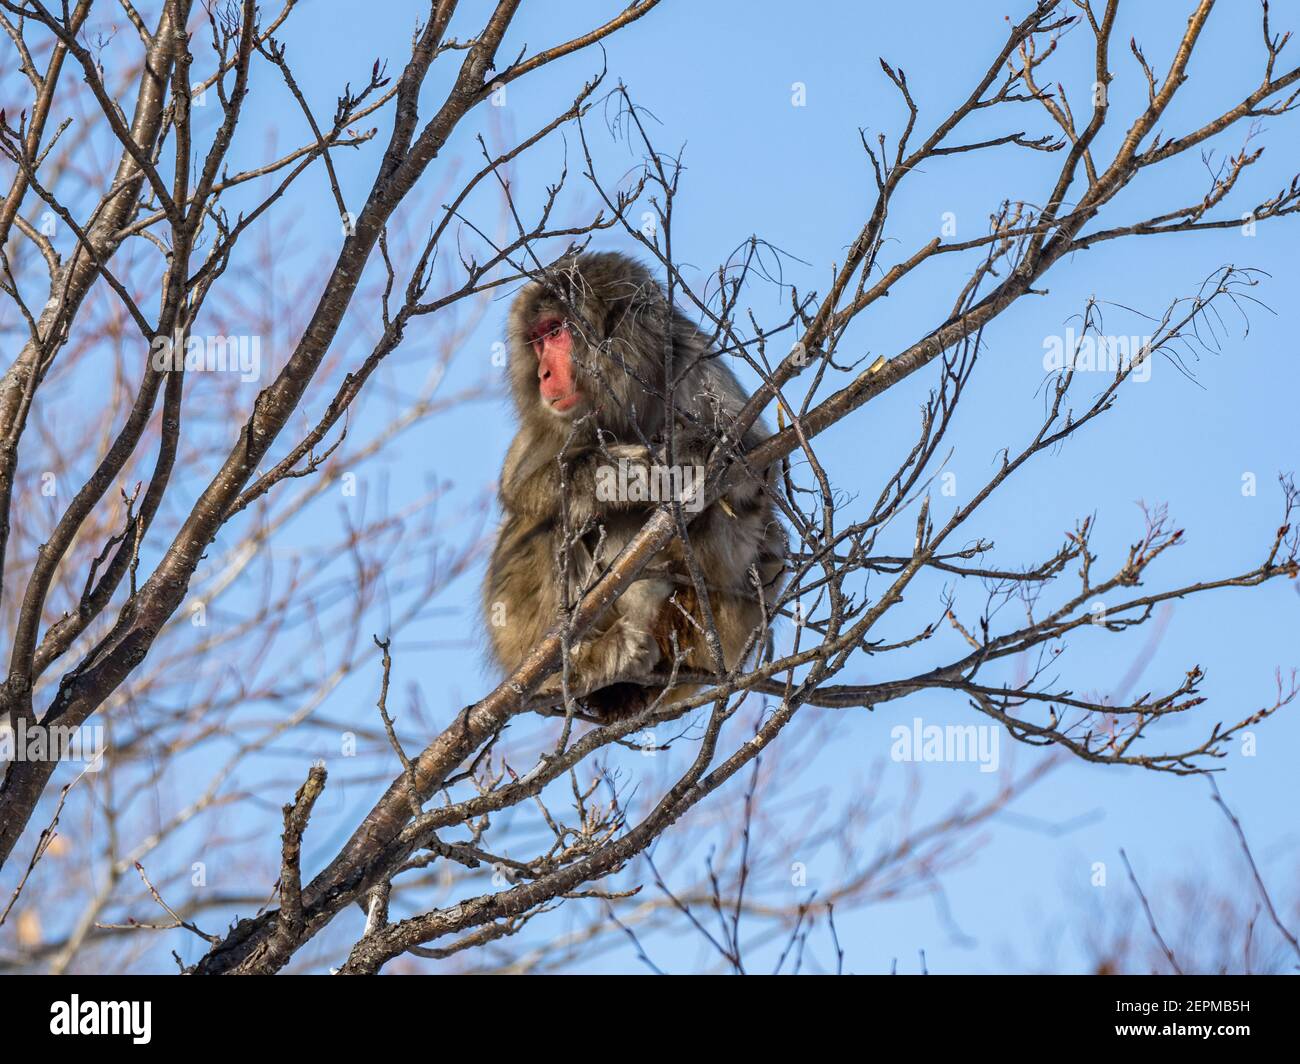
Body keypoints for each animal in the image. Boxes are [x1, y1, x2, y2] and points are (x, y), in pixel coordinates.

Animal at [482, 251, 786, 719]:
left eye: (555, 331)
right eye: (535, 341)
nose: (544, 374)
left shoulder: (693, 365)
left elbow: (757, 475)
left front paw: (693, 454)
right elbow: (518, 491)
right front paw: (614, 474)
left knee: (765, 540)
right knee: (546, 525)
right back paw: (585, 664)